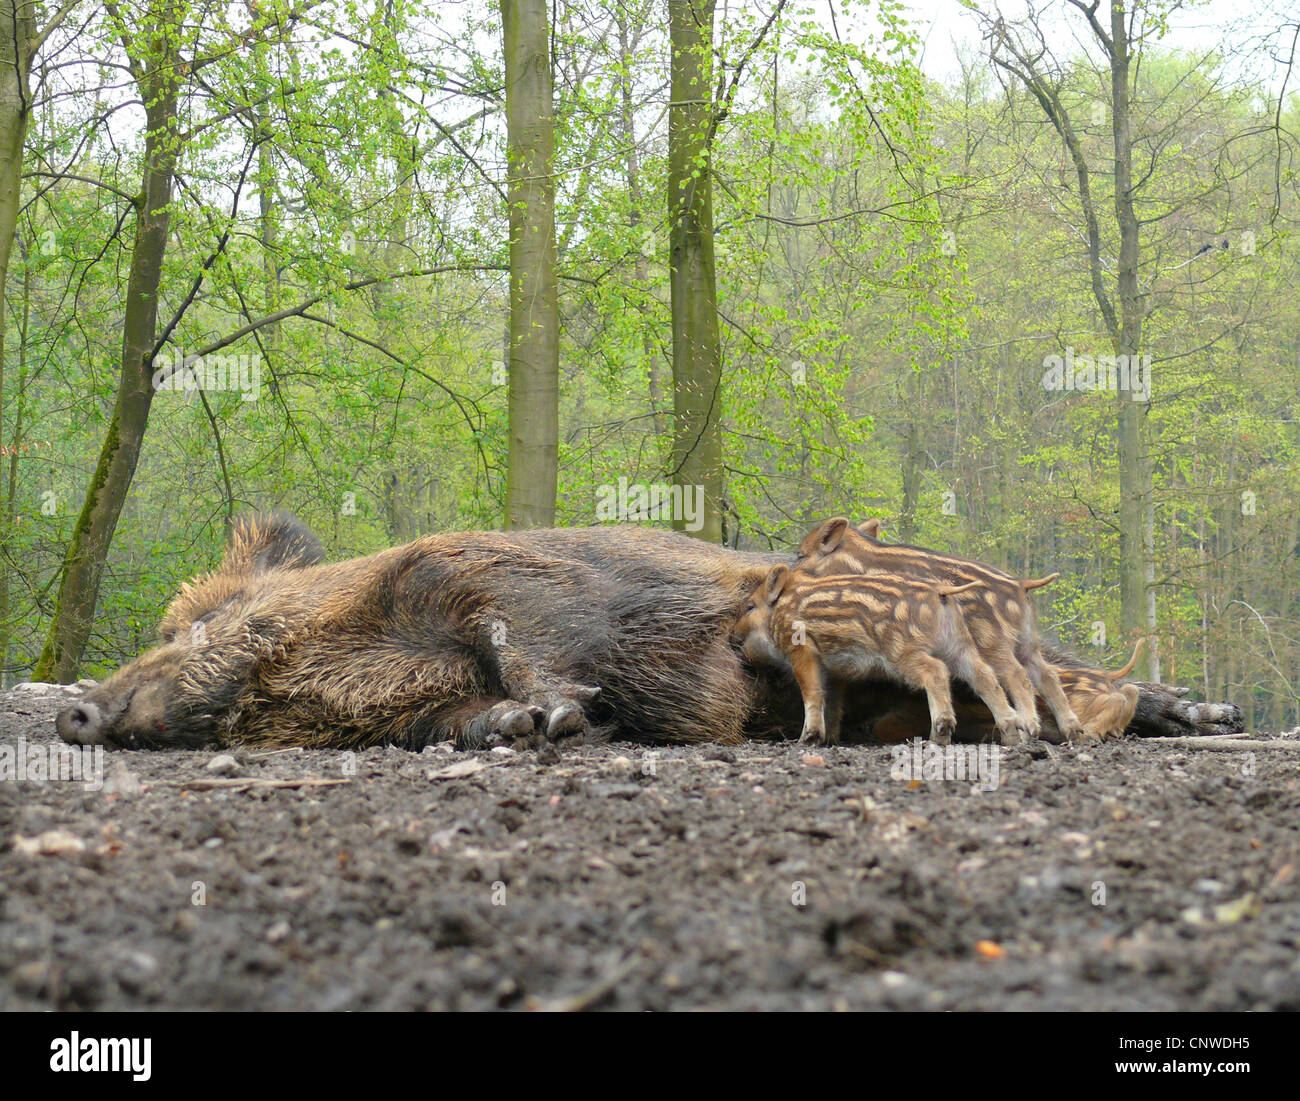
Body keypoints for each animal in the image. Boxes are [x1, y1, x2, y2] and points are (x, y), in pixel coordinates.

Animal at [732, 564, 1025, 746]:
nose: (732, 635)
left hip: (902, 649)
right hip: (959, 646)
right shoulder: (834, 669)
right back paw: (1011, 735)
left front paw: (808, 739)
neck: (779, 612)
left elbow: (812, 693)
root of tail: (940, 591)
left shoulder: (803, 649)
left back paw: (938, 735)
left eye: (749, 607)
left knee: (935, 671)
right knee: (984, 676)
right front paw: (830, 740)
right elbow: (832, 700)